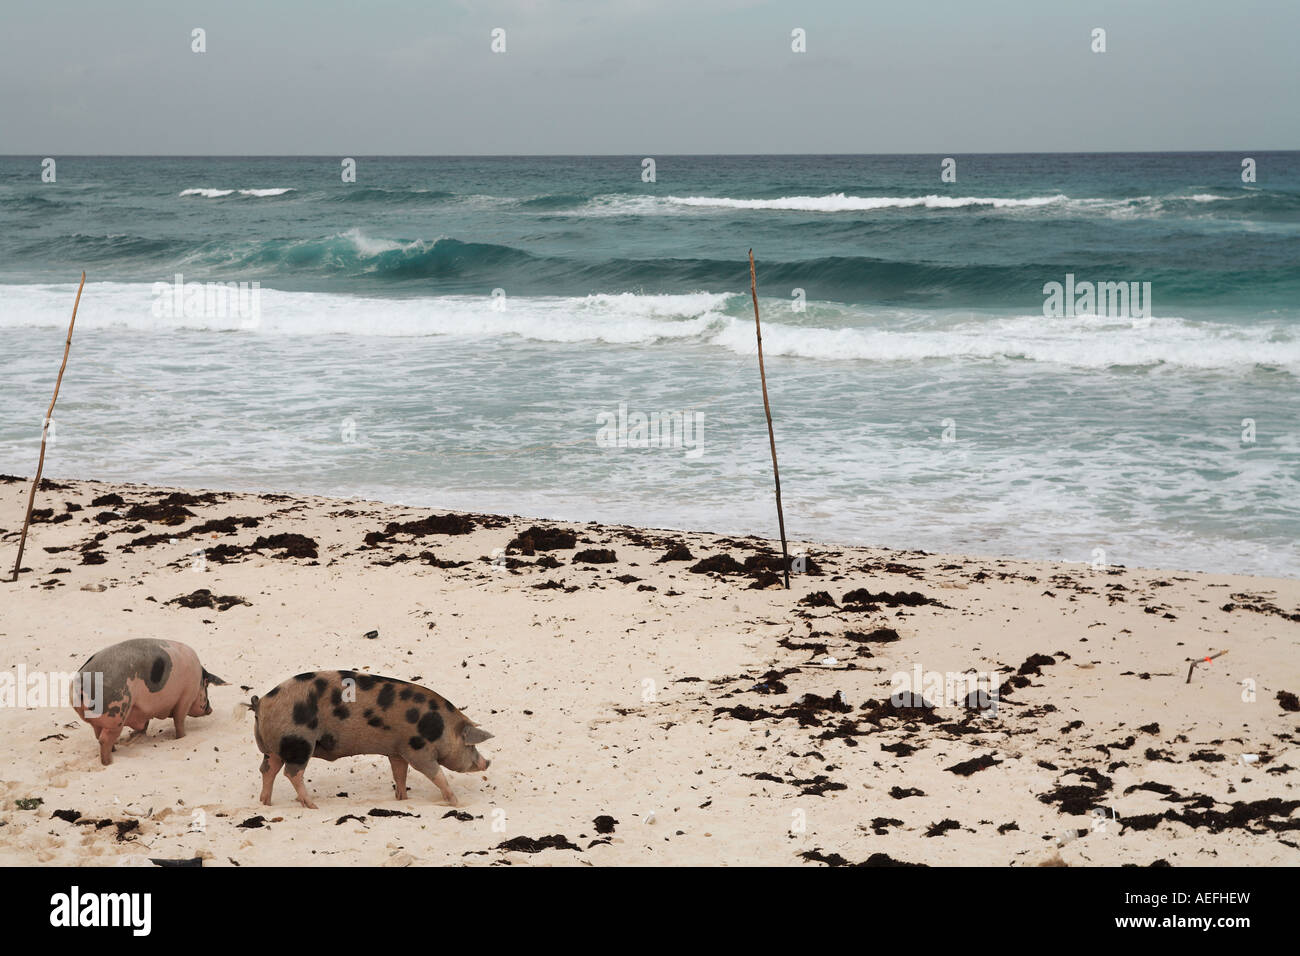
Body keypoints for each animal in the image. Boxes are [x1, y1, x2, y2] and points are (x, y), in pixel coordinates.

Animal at [72, 638, 227, 765]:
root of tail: (82, 682)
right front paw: (182, 738)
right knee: (104, 740)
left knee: (99, 736)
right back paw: (109, 763)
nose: (210, 709)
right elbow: (179, 721)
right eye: (206, 686)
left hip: (101, 720)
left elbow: (144, 724)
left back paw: (115, 751)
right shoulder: (185, 698)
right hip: (116, 714)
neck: (198, 680)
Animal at [250, 670, 492, 809]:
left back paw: (266, 803)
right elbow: (436, 774)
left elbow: (400, 774)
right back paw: (312, 806)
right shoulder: (418, 750)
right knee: (292, 773)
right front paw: (456, 802)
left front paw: (403, 799)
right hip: (298, 742)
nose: (487, 762)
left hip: (275, 747)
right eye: (470, 745)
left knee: (268, 769)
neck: (441, 728)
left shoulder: (396, 750)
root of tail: (261, 703)